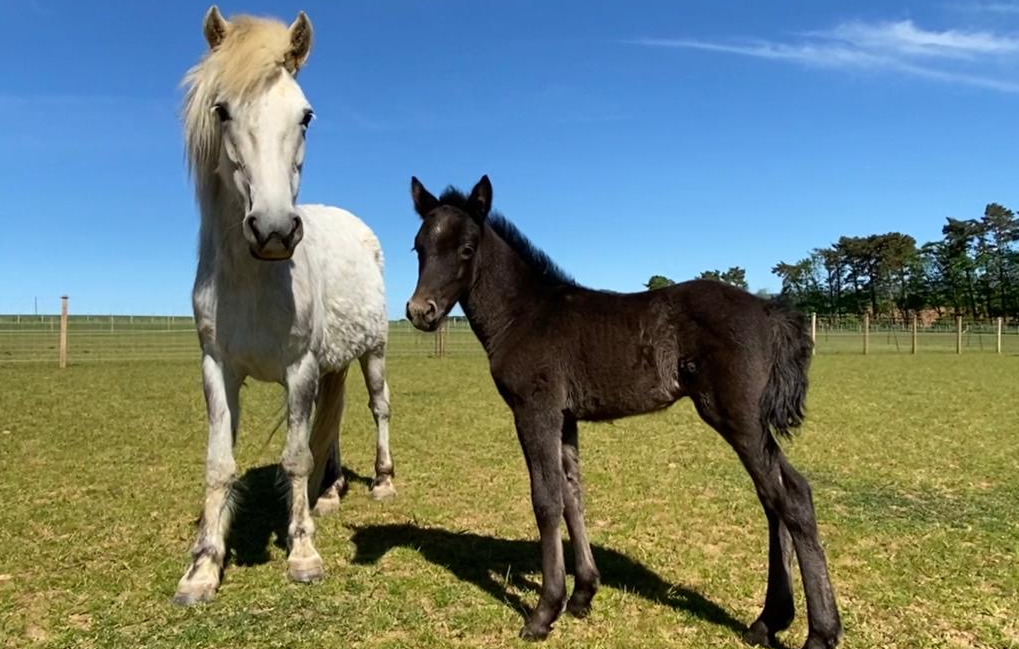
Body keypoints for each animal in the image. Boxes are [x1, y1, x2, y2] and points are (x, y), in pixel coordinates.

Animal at [173, 7, 395, 605]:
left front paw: (303, 553)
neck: (255, 280)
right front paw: (202, 567)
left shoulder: (299, 369)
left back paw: (382, 480)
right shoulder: (217, 368)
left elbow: (296, 456)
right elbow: (218, 463)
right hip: (334, 361)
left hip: (373, 352)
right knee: (334, 420)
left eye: (306, 116)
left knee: (378, 408)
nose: (274, 230)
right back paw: (332, 490)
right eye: (221, 110)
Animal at [405, 176, 841, 649]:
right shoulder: (566, 417)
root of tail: (768, 310)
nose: (420, 311)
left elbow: (546, 500)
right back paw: (769, 621)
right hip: (748, 422)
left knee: (787, 498)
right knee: (781, 495)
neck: (524, 314)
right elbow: (572, 495)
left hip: (737, 417)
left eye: (467, 248)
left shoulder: (535, 410)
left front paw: (544, 611)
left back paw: (820, 632)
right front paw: (583, 594)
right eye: (418, 247)